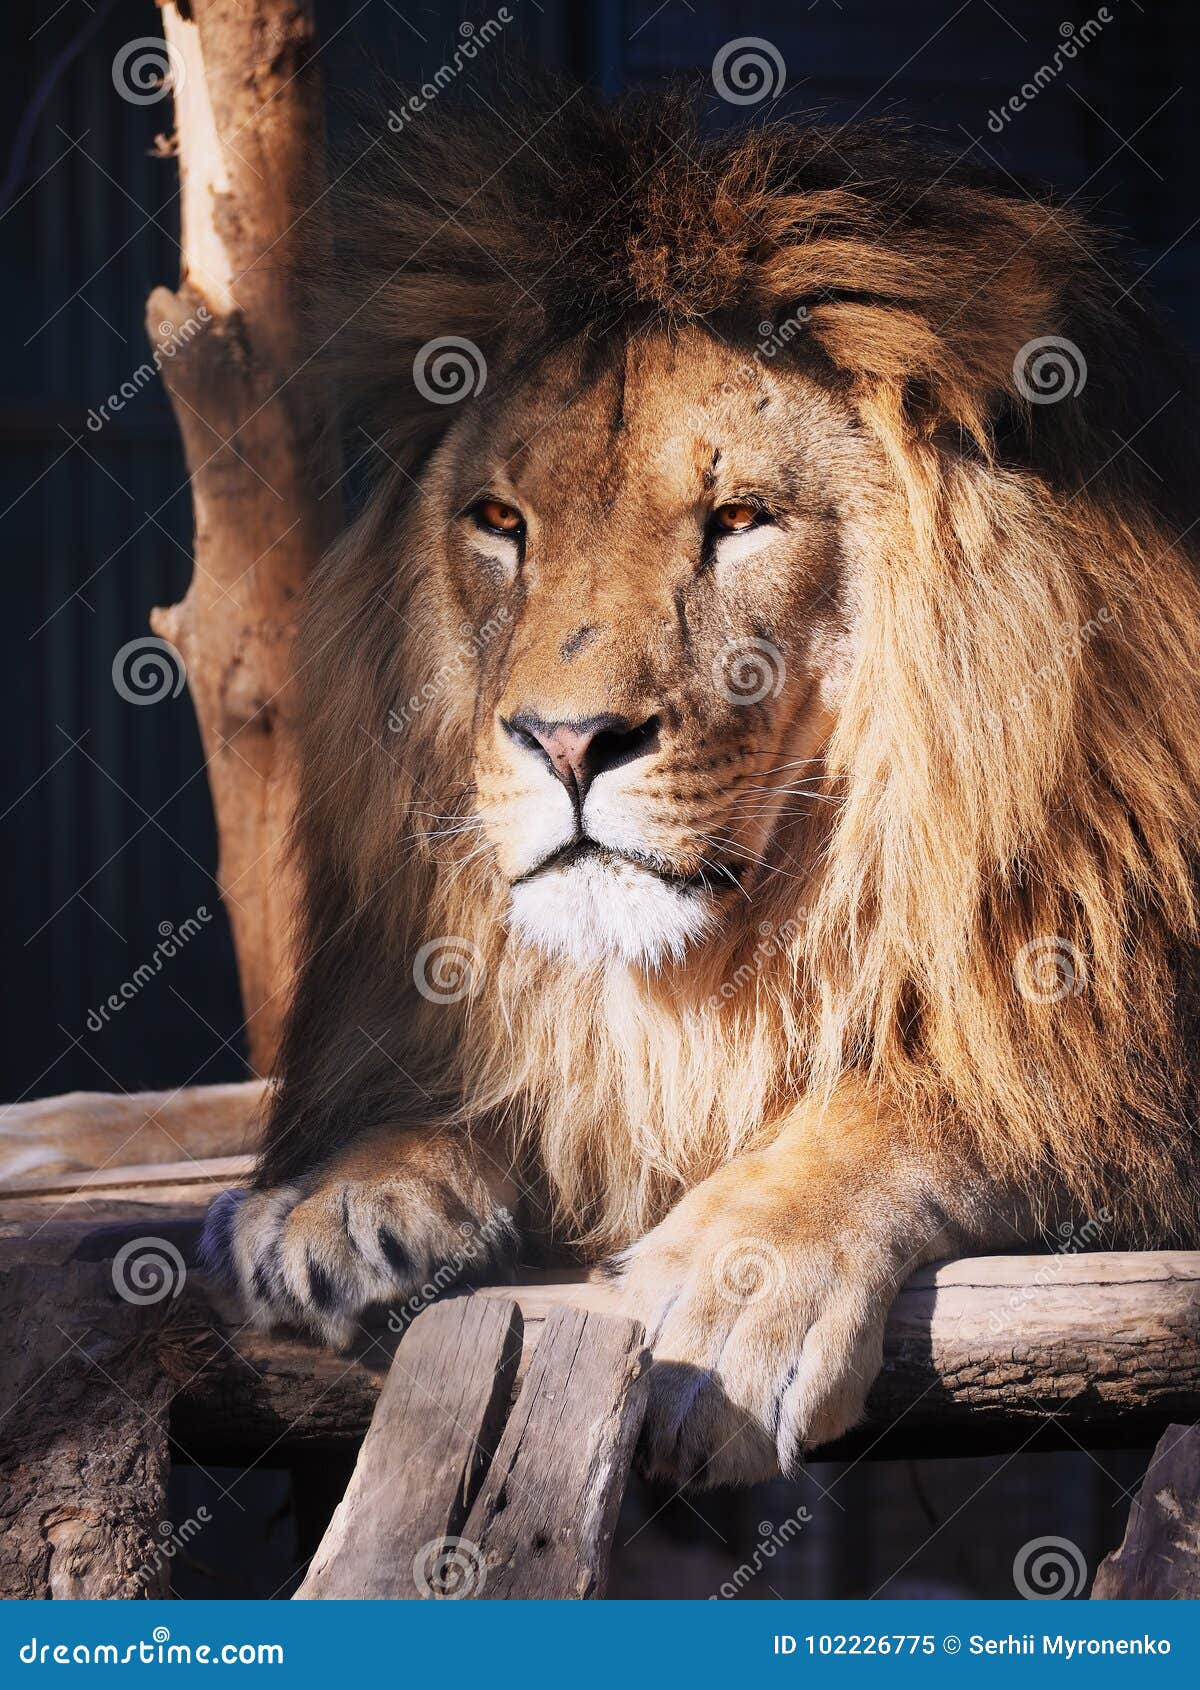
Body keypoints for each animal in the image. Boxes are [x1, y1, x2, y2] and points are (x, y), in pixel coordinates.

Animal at [202, 84, 1200, 1487]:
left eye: (738, 519)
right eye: (500, 522)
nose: (568, 742)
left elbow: (942, 1092)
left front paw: (732, 1274)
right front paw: (347, 1196)